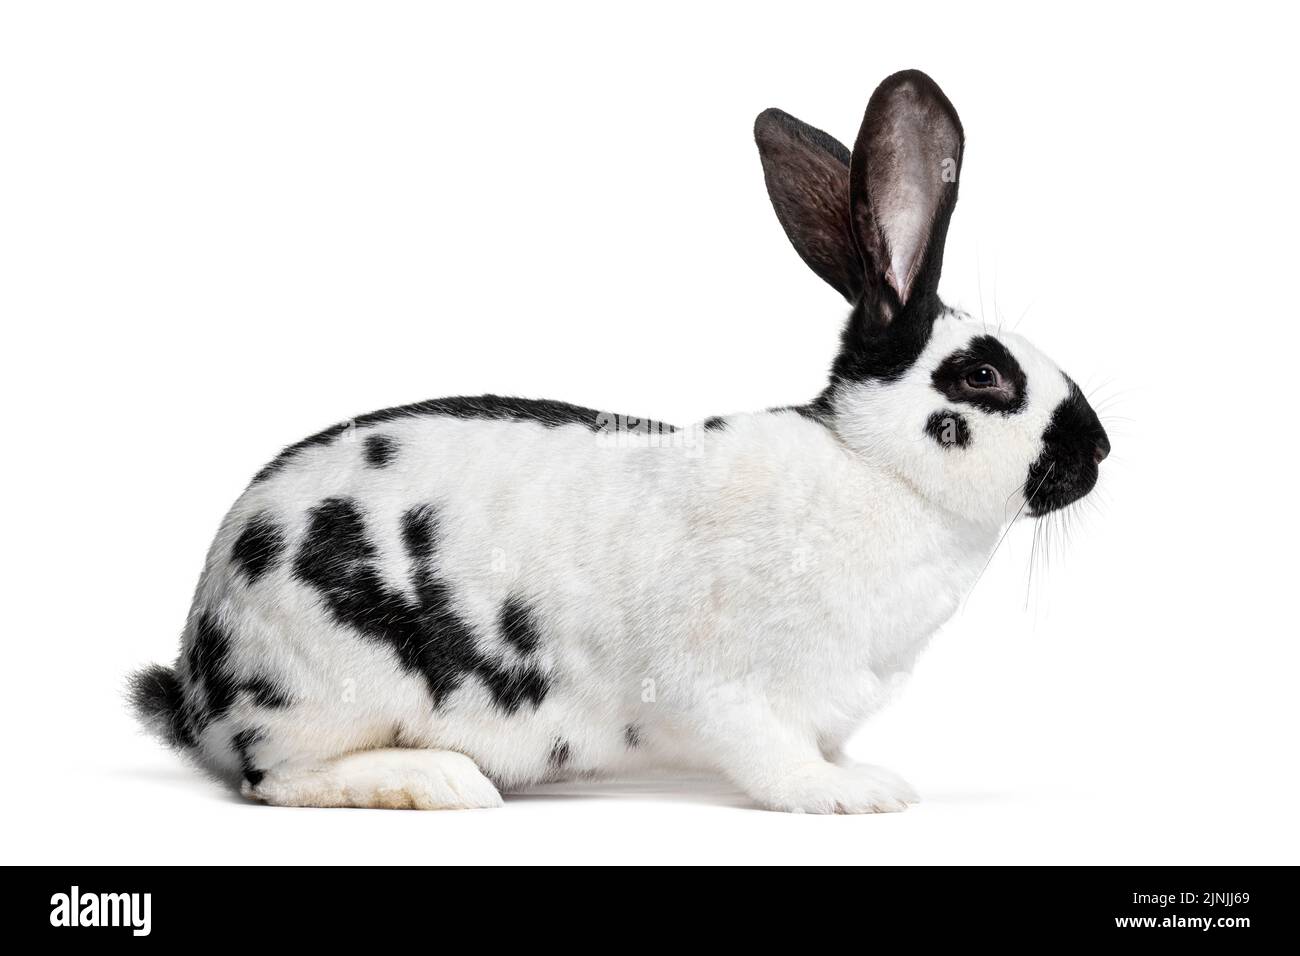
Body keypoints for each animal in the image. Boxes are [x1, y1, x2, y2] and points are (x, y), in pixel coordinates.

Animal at [128, 69, 1109, 813]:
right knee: (275, 777)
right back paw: (441, 781)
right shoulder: (733, 692)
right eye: (982, 377)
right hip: (327, 689)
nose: (1098, 452)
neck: (875, 471)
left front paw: (866, 775)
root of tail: (199, 674)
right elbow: (776, 760)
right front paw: (853, 795)